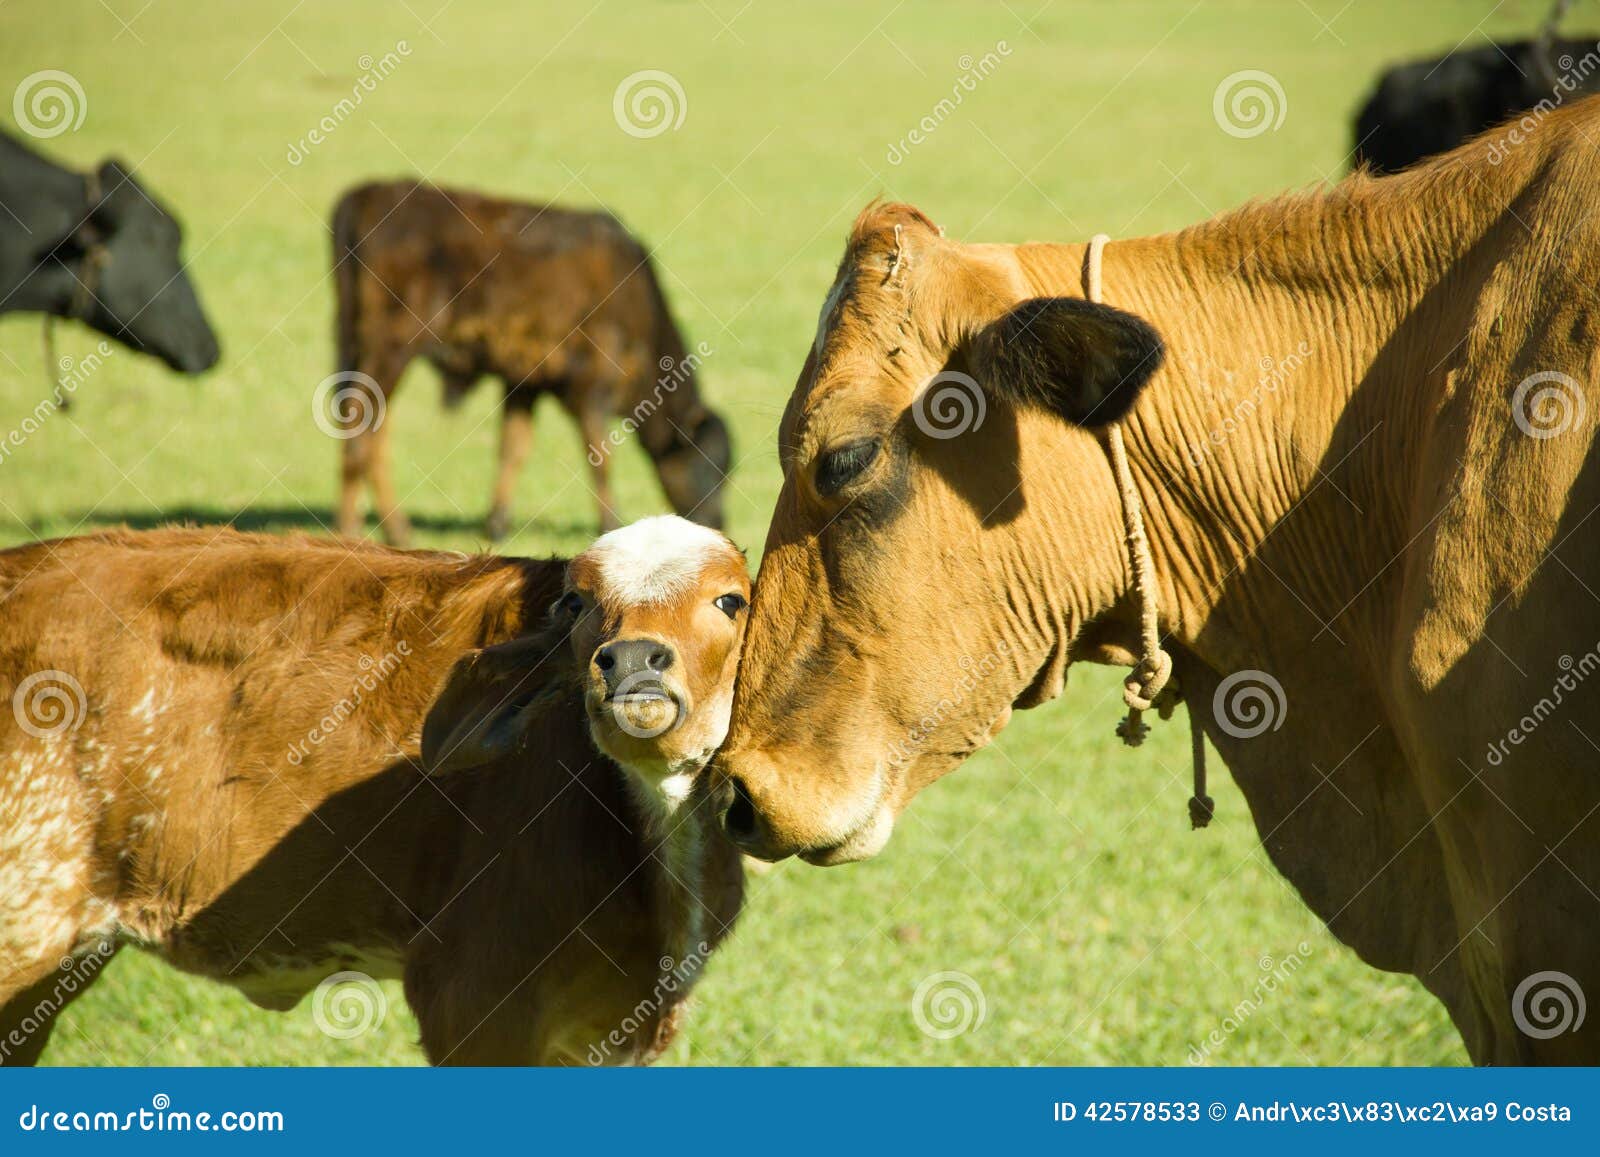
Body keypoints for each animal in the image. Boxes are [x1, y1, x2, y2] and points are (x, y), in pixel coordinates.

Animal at [330, 181, 731, 546]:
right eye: (708, 465)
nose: (718, 524)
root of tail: (366, 194)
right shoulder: (591, 388)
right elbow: (600, 457)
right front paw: (609, 522)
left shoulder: (524, 381)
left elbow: (513, 448)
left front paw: (497, 523)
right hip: (391, 349)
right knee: (361, 429)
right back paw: (359, 531)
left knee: (374, 430)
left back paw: (393, 530)